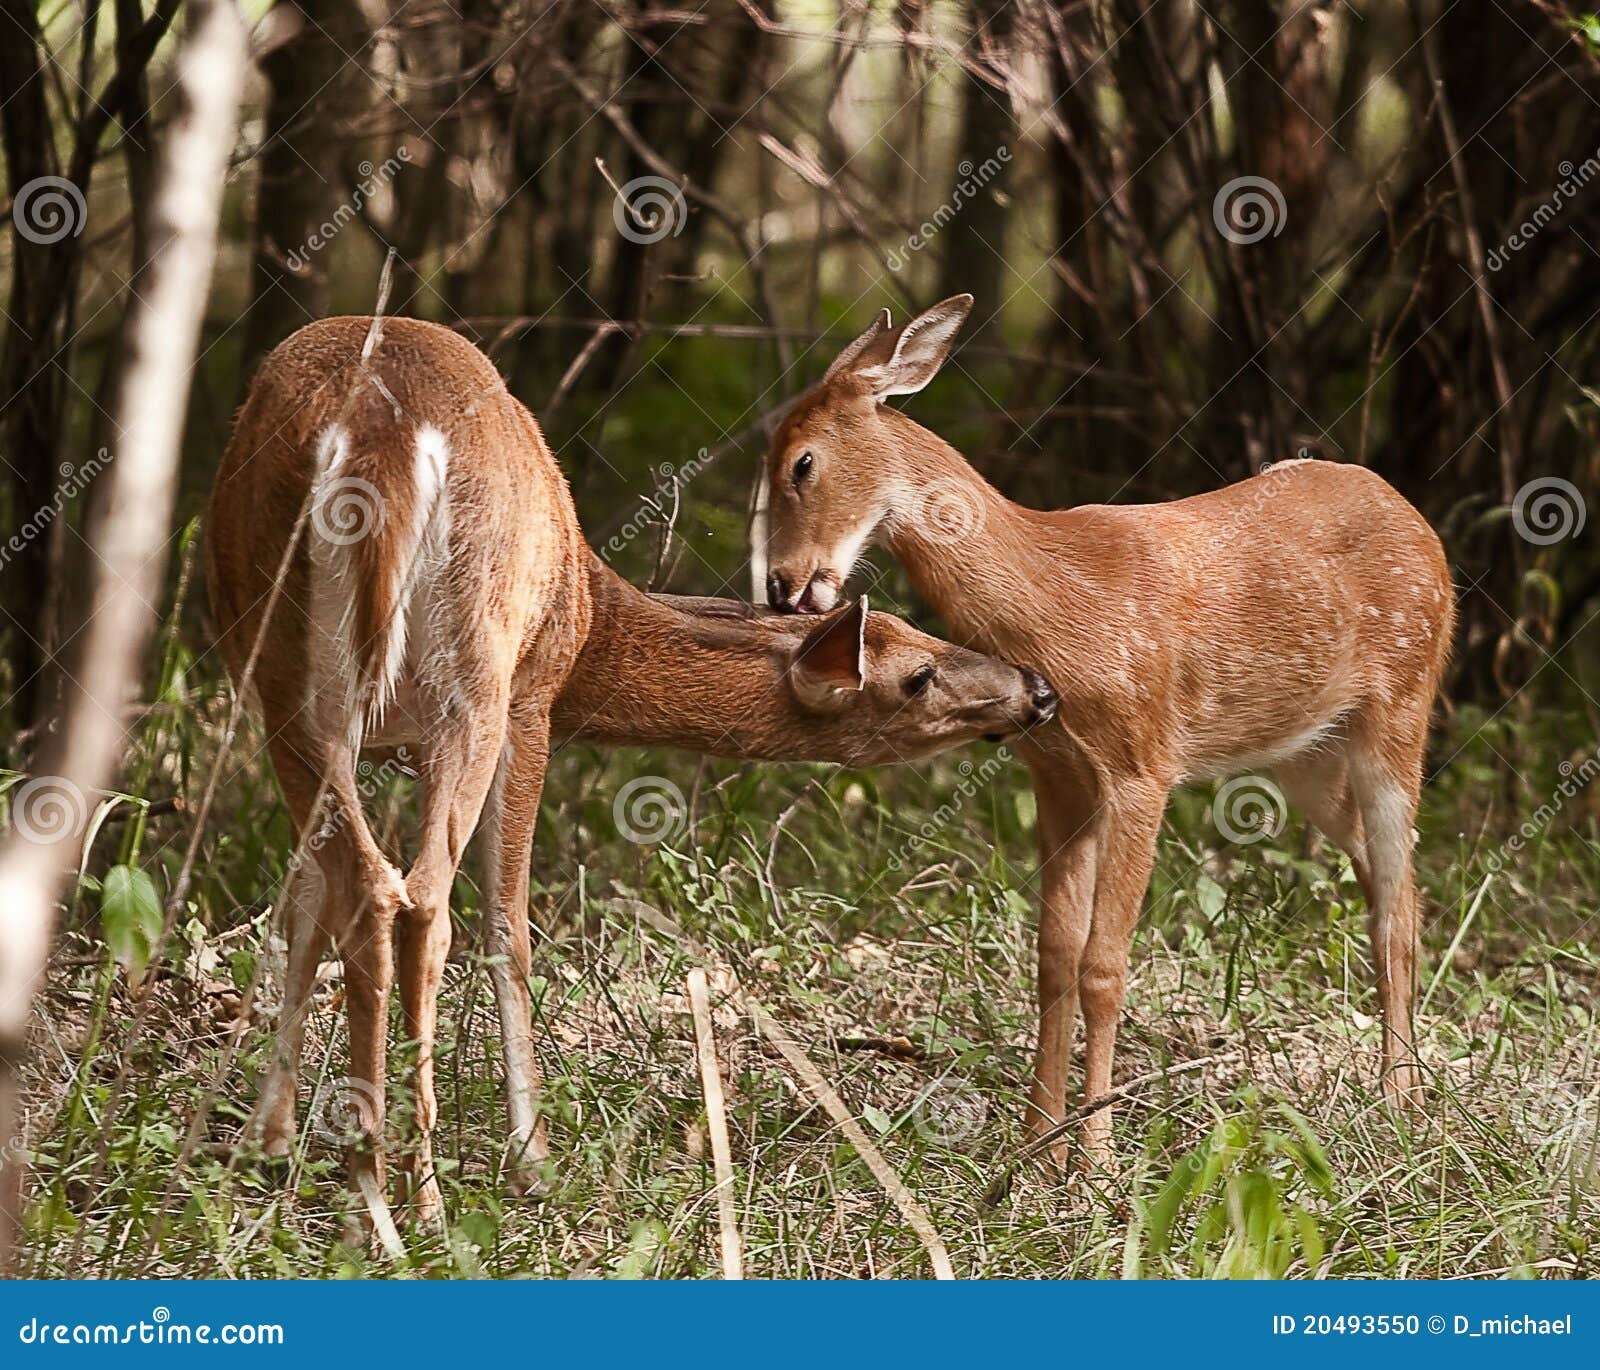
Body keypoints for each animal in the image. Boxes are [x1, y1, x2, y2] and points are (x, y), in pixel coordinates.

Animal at [208, 314, 1058, 1219]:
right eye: (918, 676)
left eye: (921, 631)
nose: (1037, 690)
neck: (592, 617)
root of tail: (375, 433)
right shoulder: (533, 699)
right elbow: (509, 926)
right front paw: (532, 1157)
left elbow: (303, 904)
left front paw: (264, 1139)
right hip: (472, 674)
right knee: (416, 895)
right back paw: (410, 1191)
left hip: (290, 682)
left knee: (360, 883)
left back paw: (369, 1173)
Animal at [754, 295, 1455, 1173]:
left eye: (801, 463)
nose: (781, 588)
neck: (1058, 601)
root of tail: (1420, 524)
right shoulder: (1053, 769)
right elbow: (1053, 957)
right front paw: (1034, 1150)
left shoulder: (1141, 762)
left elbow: (1104, 965)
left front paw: (1095, 1162)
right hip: (1306, 754)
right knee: (1395, 886)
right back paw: (1404, 1093)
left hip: (1403, 703)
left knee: (1397, 901)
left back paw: (1401, 1107)